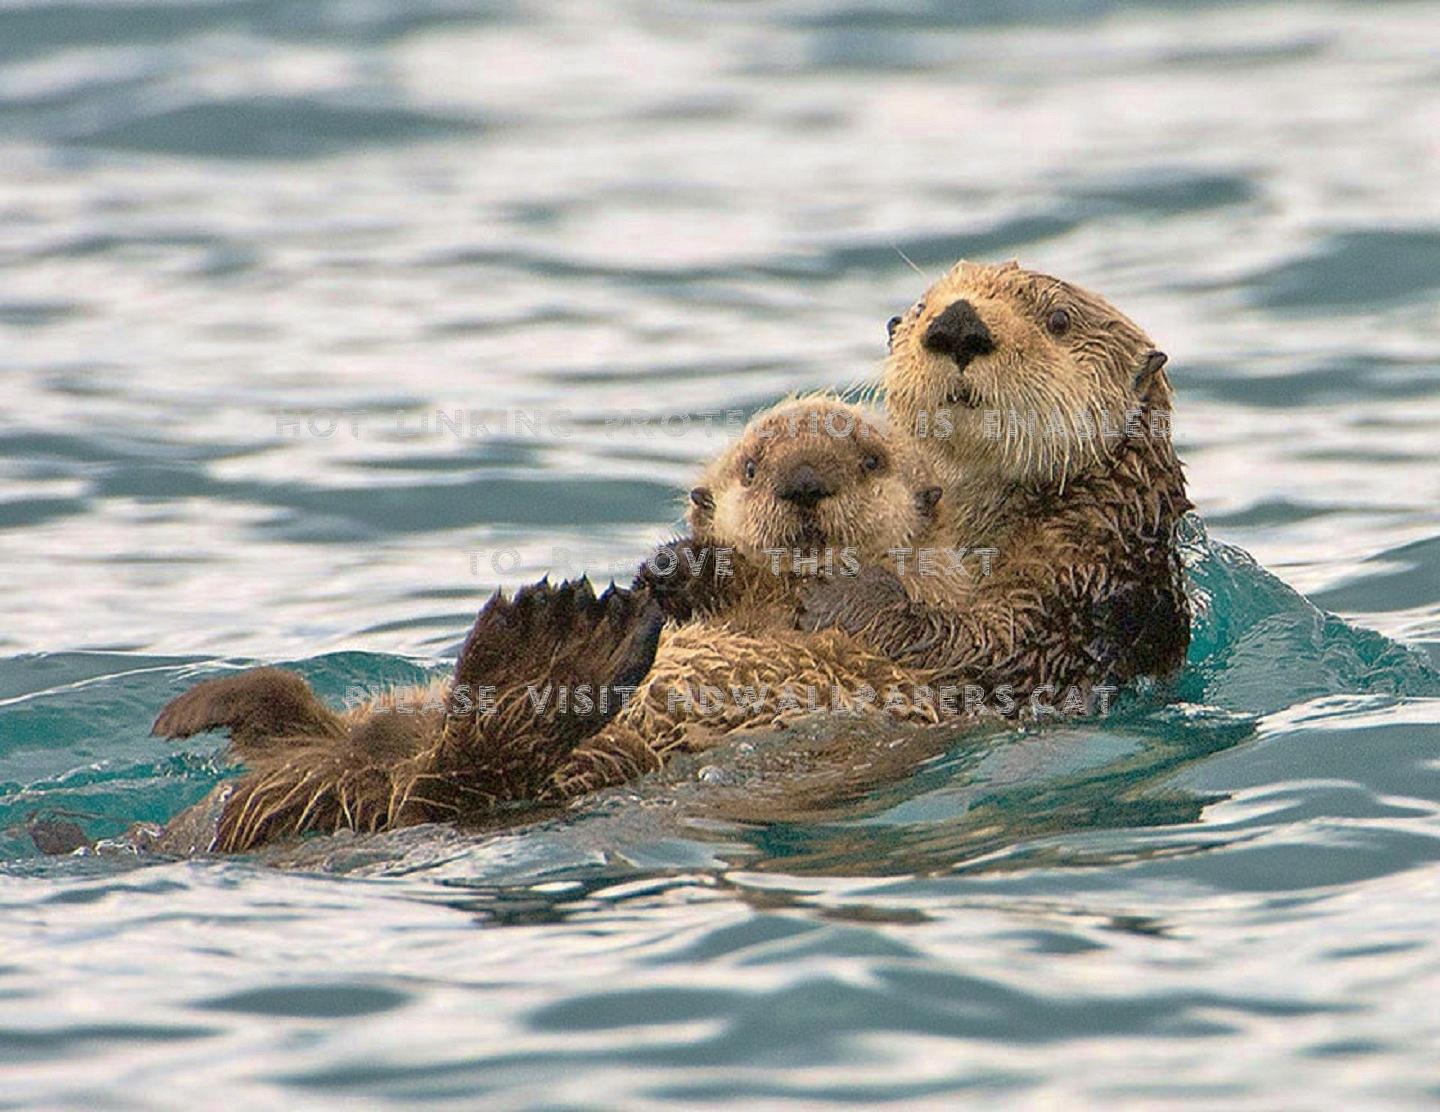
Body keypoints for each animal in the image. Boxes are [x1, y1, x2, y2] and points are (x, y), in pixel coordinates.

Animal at [798, 260, 1192, 699]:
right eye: (921, 308)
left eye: (1059, 319)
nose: (957, 323)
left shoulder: (1079, 574)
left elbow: (995, 652)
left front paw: (845, 587)